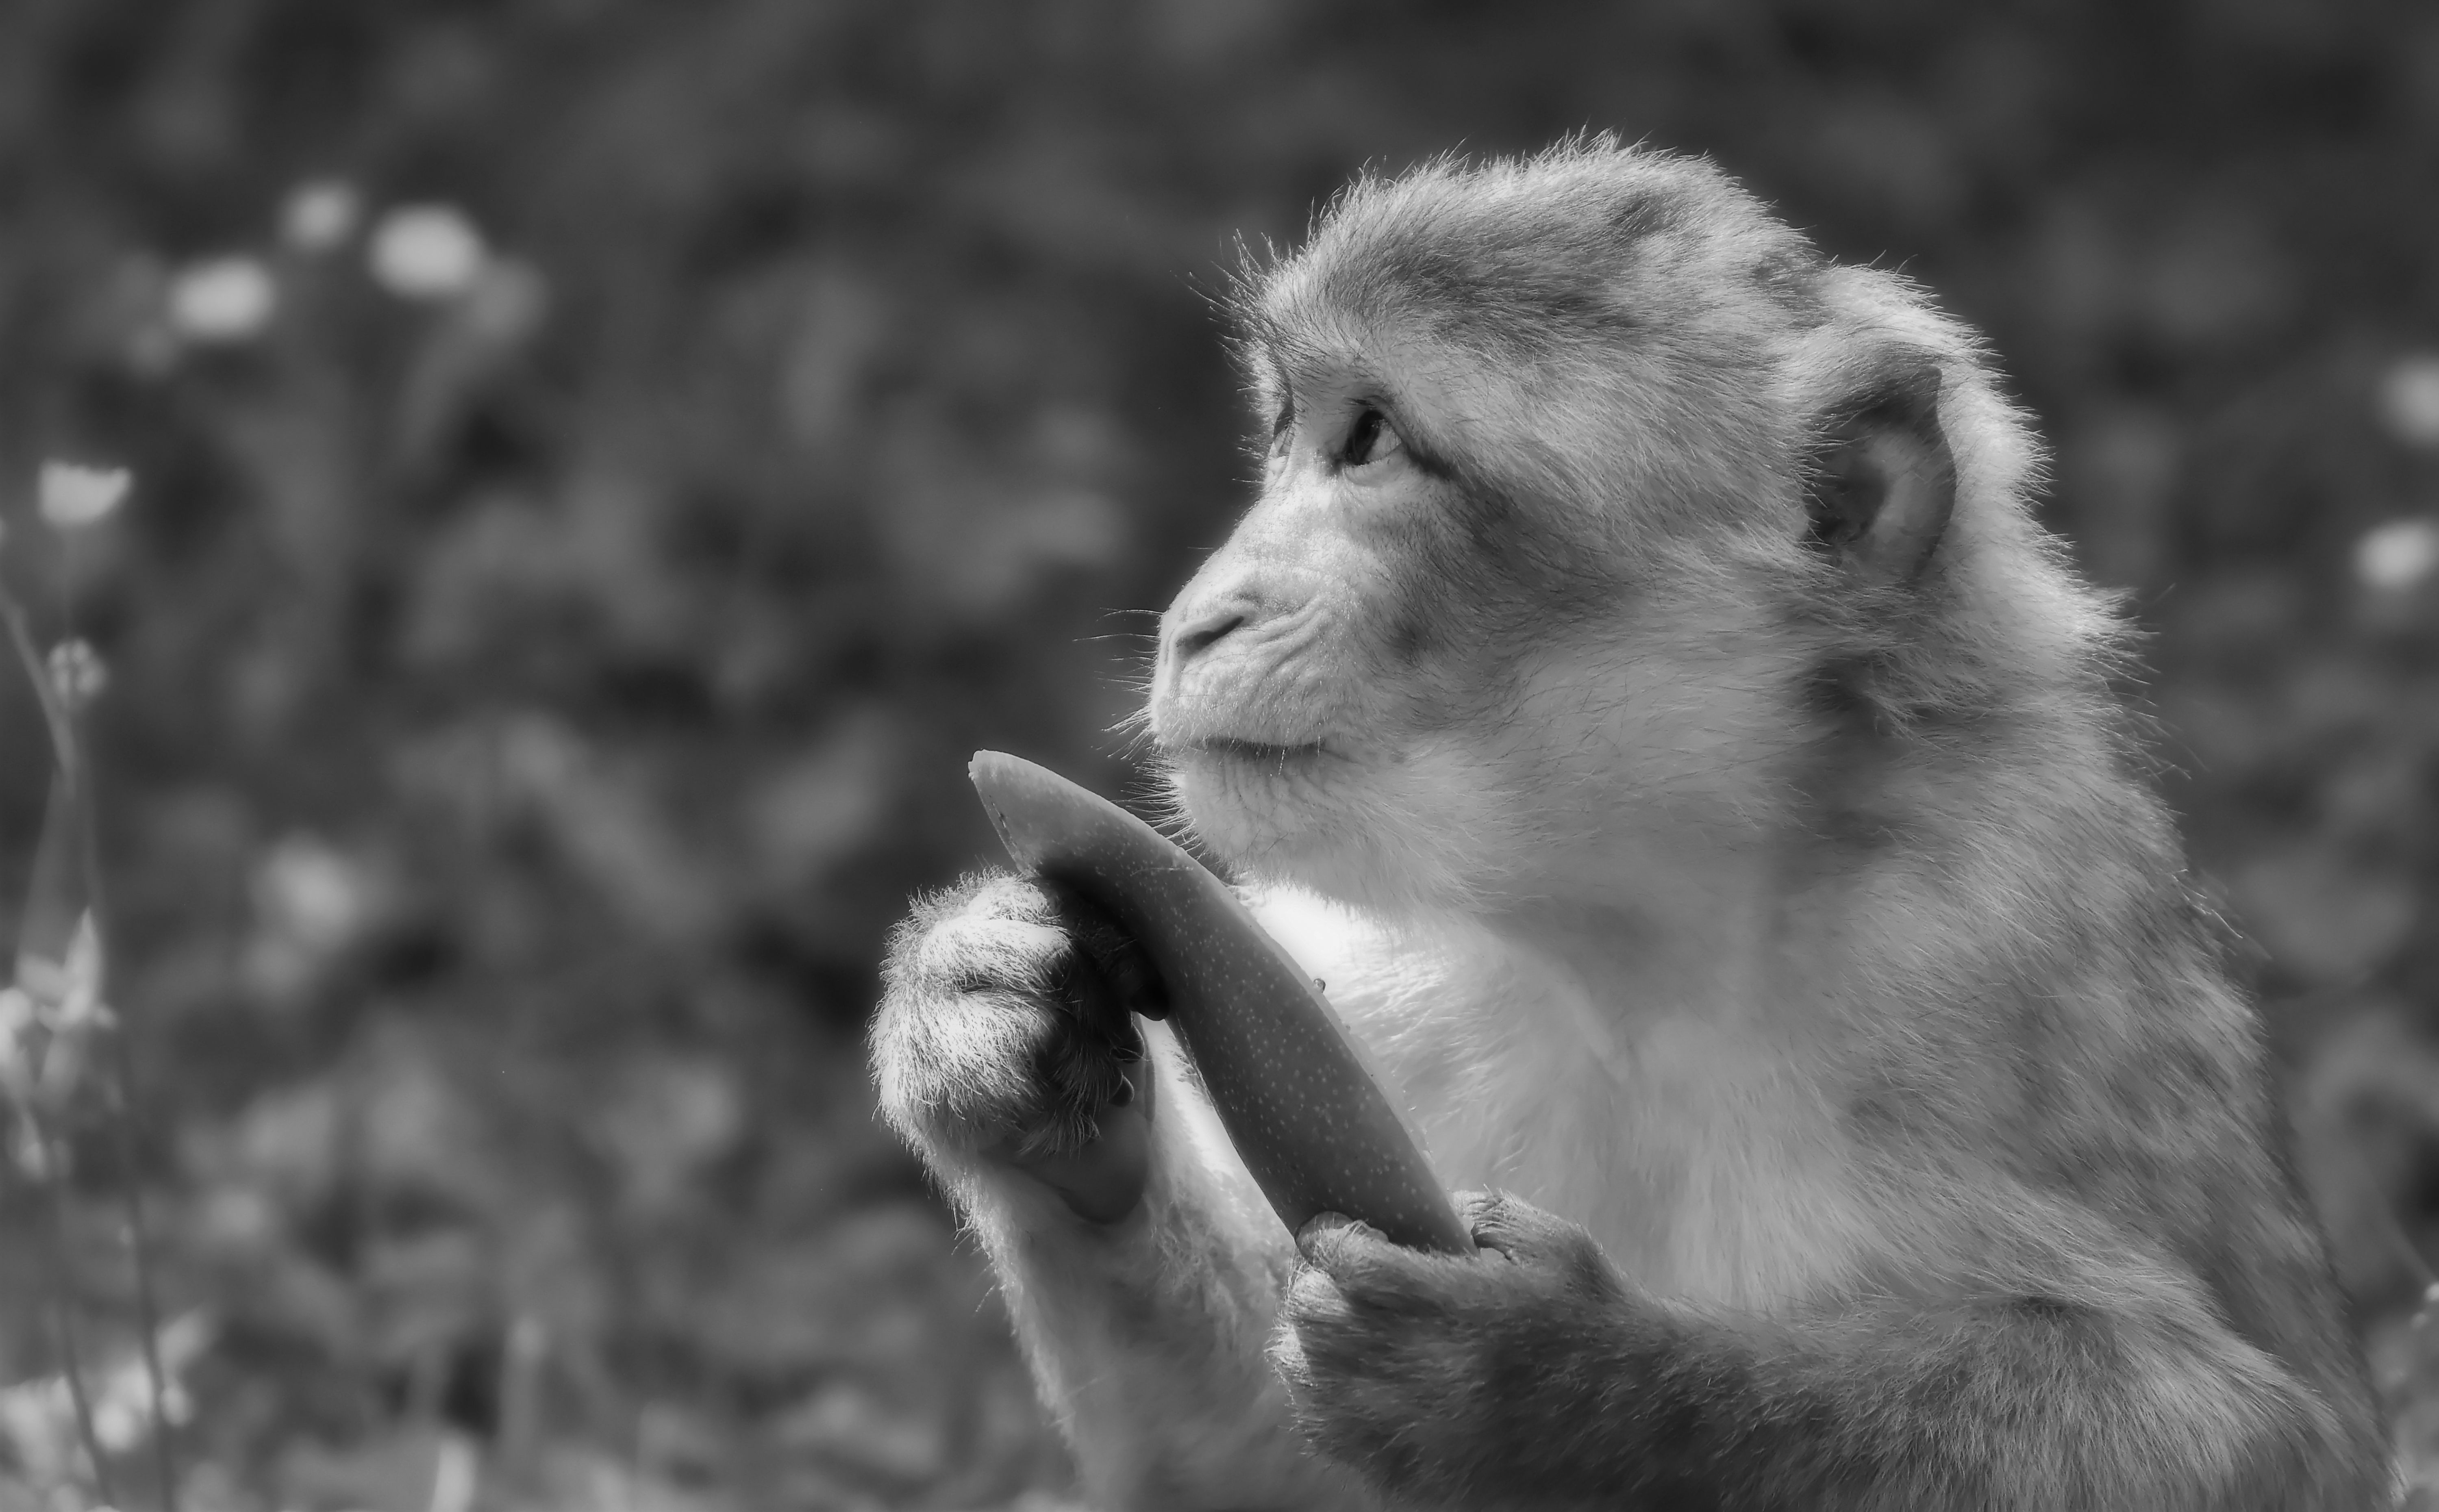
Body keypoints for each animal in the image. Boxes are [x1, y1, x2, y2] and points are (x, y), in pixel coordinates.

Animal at [869, 140, 2392, 1510]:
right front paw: (1001, 1024)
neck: (1629, 938)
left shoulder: (1981, 956)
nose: (1203, 617)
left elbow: (2246, 1433)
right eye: (1294, 431)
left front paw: (1552, 1384)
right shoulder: (1375, 971)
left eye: (1375, 443)